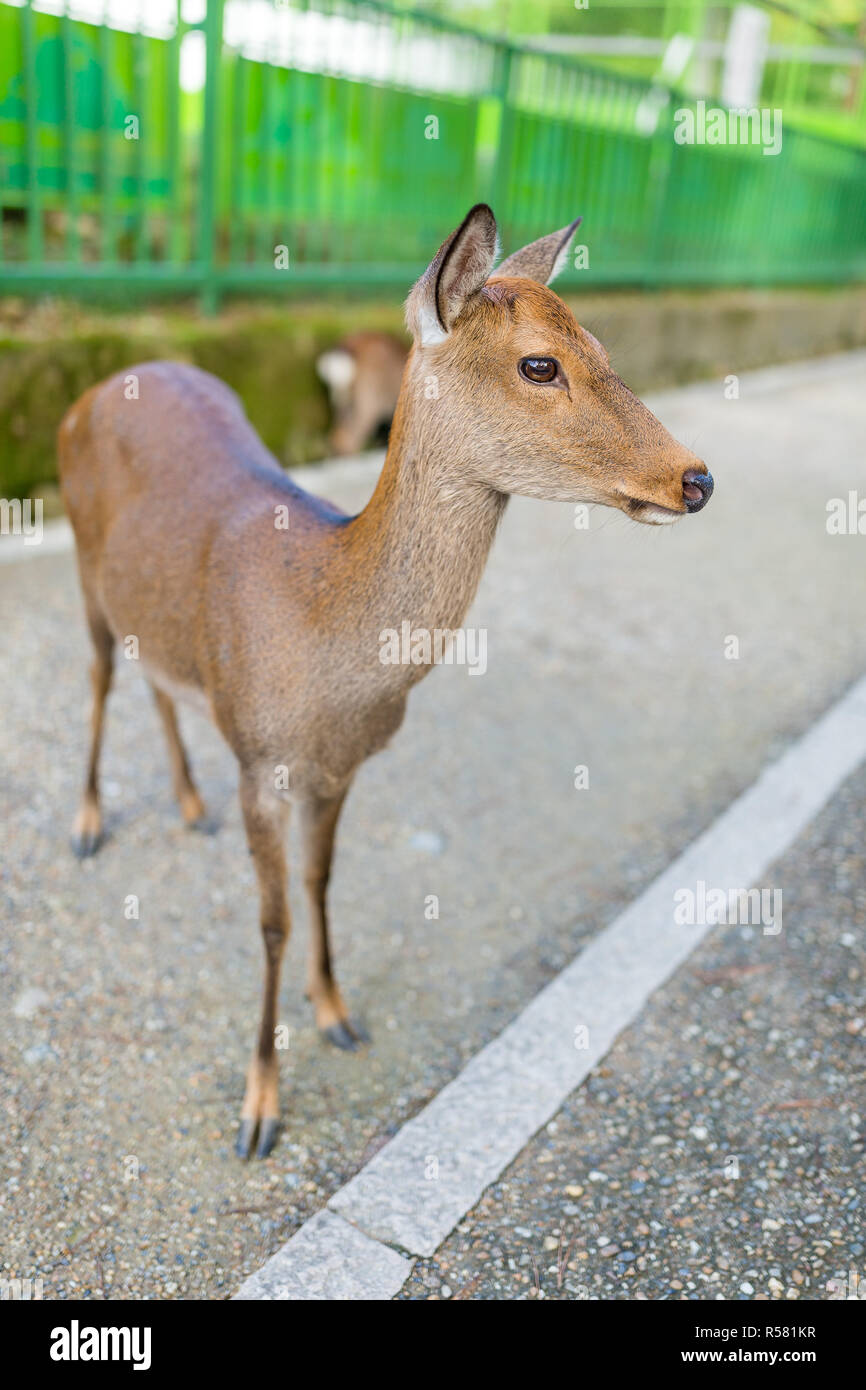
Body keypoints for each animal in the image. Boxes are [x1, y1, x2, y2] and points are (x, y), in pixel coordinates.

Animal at [58, 205, 713, 1160]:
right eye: (540, 363)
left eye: (600, 343)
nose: (696, 478)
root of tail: (97, 387)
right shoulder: (260, 760)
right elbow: (271, 919)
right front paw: (260, 1109)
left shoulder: (341, 770)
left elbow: (322, 882)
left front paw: (337, 1014)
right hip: (82, 556)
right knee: (102, 674)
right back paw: (87, 824)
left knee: (156, 679)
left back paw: (186, 803)